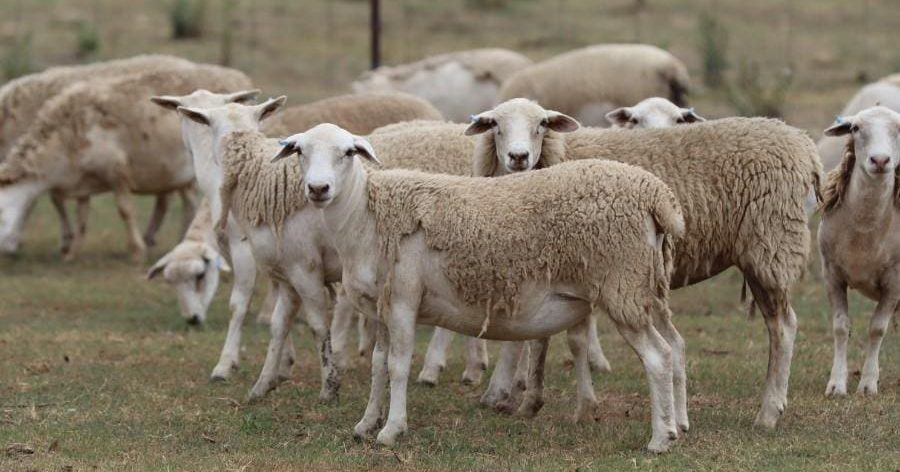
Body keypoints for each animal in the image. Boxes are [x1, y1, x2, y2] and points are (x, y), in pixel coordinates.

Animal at [0, 65, 252, 261]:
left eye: (1, 210)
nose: (4, 252)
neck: (67, 138)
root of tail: (238, 77)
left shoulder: (117, 172)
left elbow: (125, 211)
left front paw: (136, 251)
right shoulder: (82, 181)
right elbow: (81, 216)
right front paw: (72, 252)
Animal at [274, 123, 686, 452]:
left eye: (347, 153)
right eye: (300, 152)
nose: (318, 189)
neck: (366, 213)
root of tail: (656, 196)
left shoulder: (404, 298)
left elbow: (398, 367)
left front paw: (391, 430)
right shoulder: (382, 306)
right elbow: (378, 366)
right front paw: (365, 424)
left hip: (623, 287)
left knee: (658, 357)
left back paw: (660, 439)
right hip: (645, 289)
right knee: (674, 345)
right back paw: (678, 425)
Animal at [467, 98, 822, 429]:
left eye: (542, 124)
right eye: (495, 124)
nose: (518, 157)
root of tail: (801, 142)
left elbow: (539, 339)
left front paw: (512, 397)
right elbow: (543, 338)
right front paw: (530, 398)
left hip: (769, 246)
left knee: (783, 327)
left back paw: (768, 412)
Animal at [818, 106, 900, 396]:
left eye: (899, 129)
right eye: (855, 128)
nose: (880, 160)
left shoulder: (895, 282)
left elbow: (877, 329)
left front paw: (867, 383)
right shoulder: (831, 274)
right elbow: (841, 327)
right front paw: (836, 384)